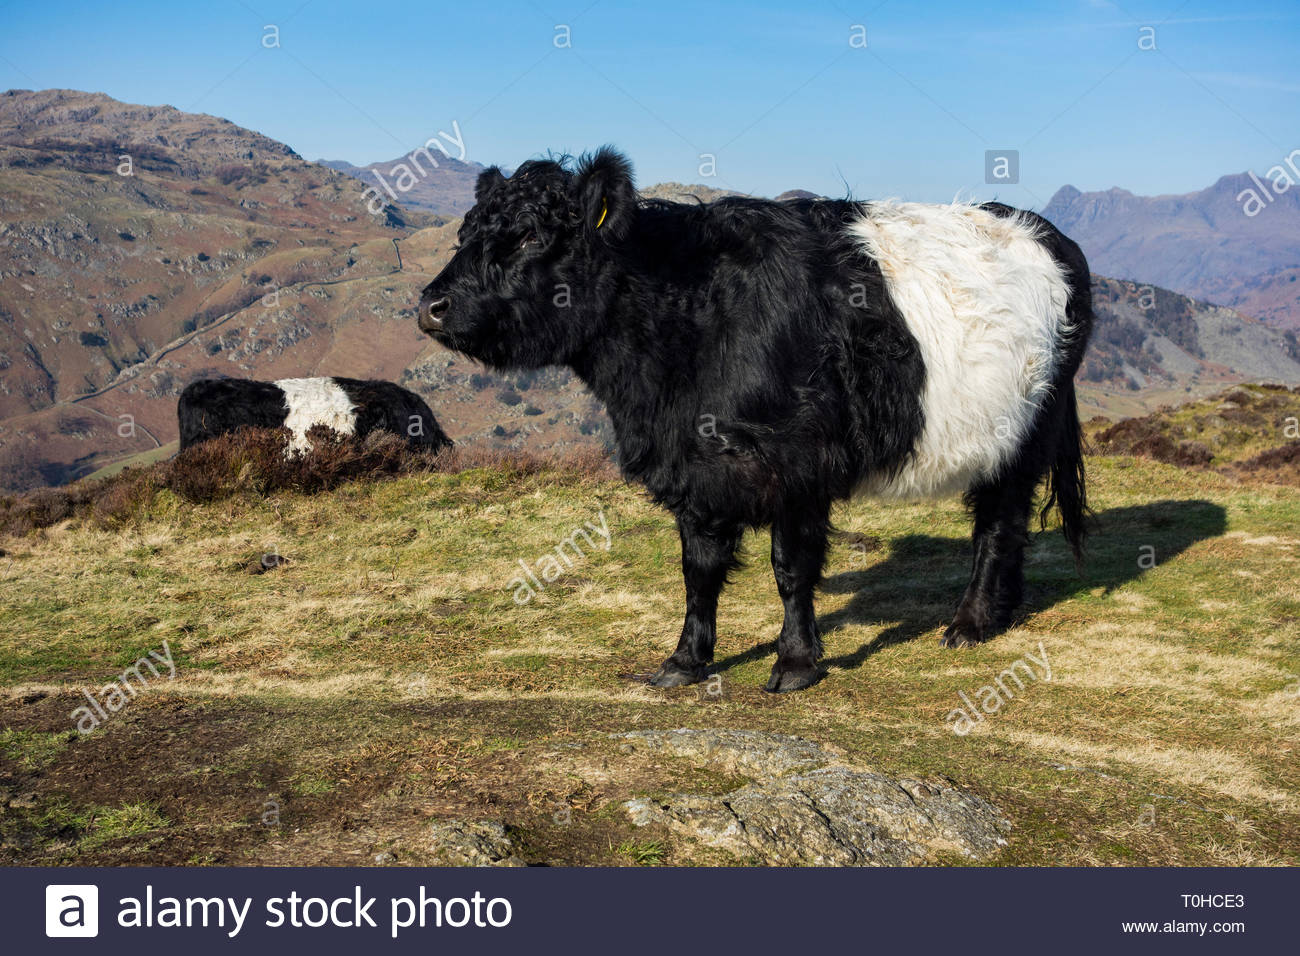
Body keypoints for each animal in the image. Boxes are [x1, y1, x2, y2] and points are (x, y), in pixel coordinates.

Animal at [417, 148, 1093, 693]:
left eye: (532, 236)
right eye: (466, 232)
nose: (431, 306)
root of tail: (1043, 231)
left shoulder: (794, 462)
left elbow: (790, 569)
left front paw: (794, 664)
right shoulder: (696, 465)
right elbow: (699, 571)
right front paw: (685, 661)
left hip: (1026, 430)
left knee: (997, 525)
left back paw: (971, 623)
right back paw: (1001, 612)